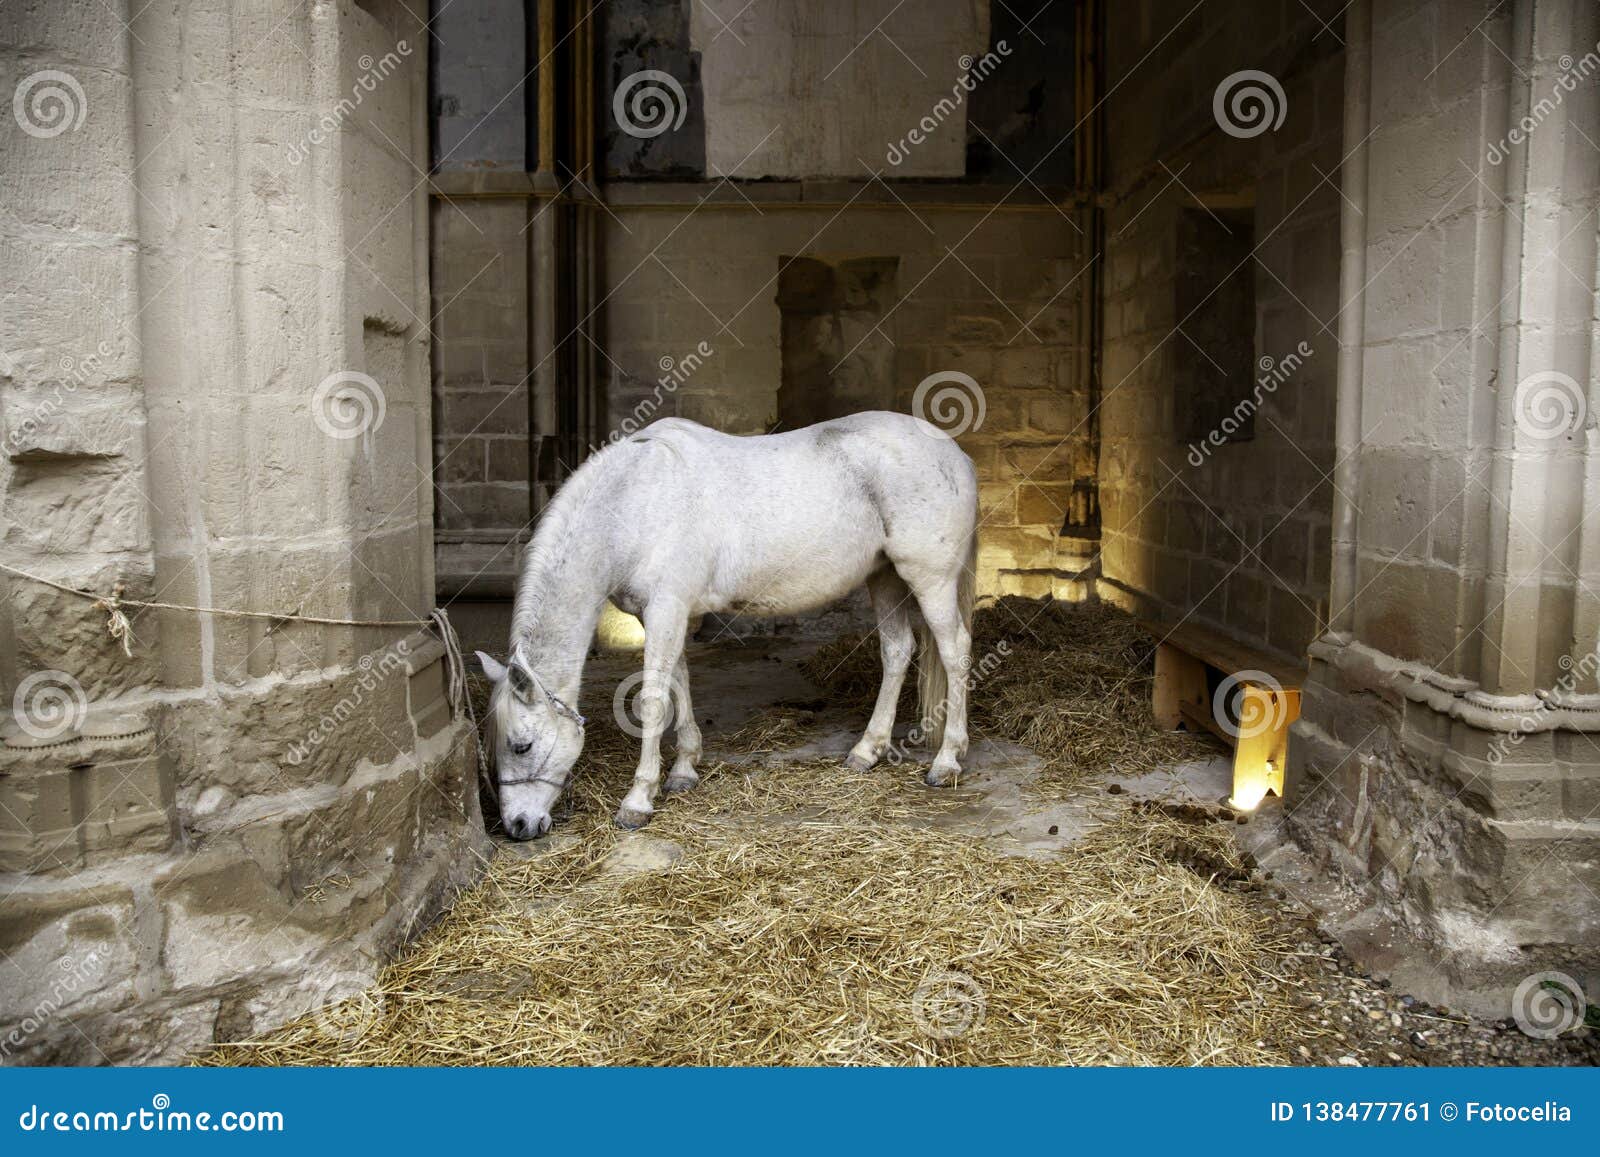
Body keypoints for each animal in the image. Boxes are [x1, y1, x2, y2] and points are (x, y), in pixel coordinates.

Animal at [474, 410, 978, 839]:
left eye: (521, 745)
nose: (517, 826)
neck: (636, 502)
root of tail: (957, 455)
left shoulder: (666, 608)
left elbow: (653, 700)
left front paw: (638, 800)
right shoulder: (664, 615)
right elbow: (679, 682)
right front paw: (684, 769)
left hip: (929, 580)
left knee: (955, 652)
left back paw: (946, 761)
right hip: (885, 578)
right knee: (897, 650)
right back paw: (866, 751)